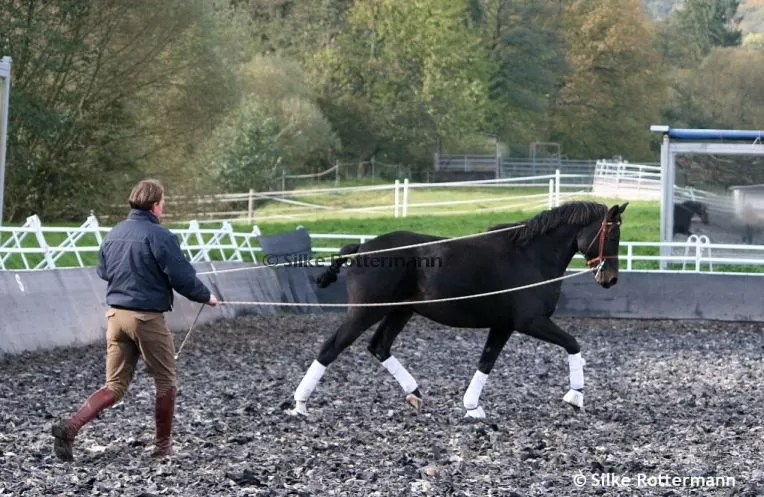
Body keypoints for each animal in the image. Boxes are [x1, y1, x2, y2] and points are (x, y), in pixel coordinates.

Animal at [290, 200, 628, 416]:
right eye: (612, 234)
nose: (611, 279)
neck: (530, 256)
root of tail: (362, 248)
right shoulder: (530, 321)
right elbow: (573, 344)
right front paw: (575, 396)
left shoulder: (503, 326)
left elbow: (486, 362)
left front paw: (472, 407)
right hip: (365, 311)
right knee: (331, 347)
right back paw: (300, 405)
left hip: (400, 311)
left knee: (379, 346)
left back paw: (414, 394)